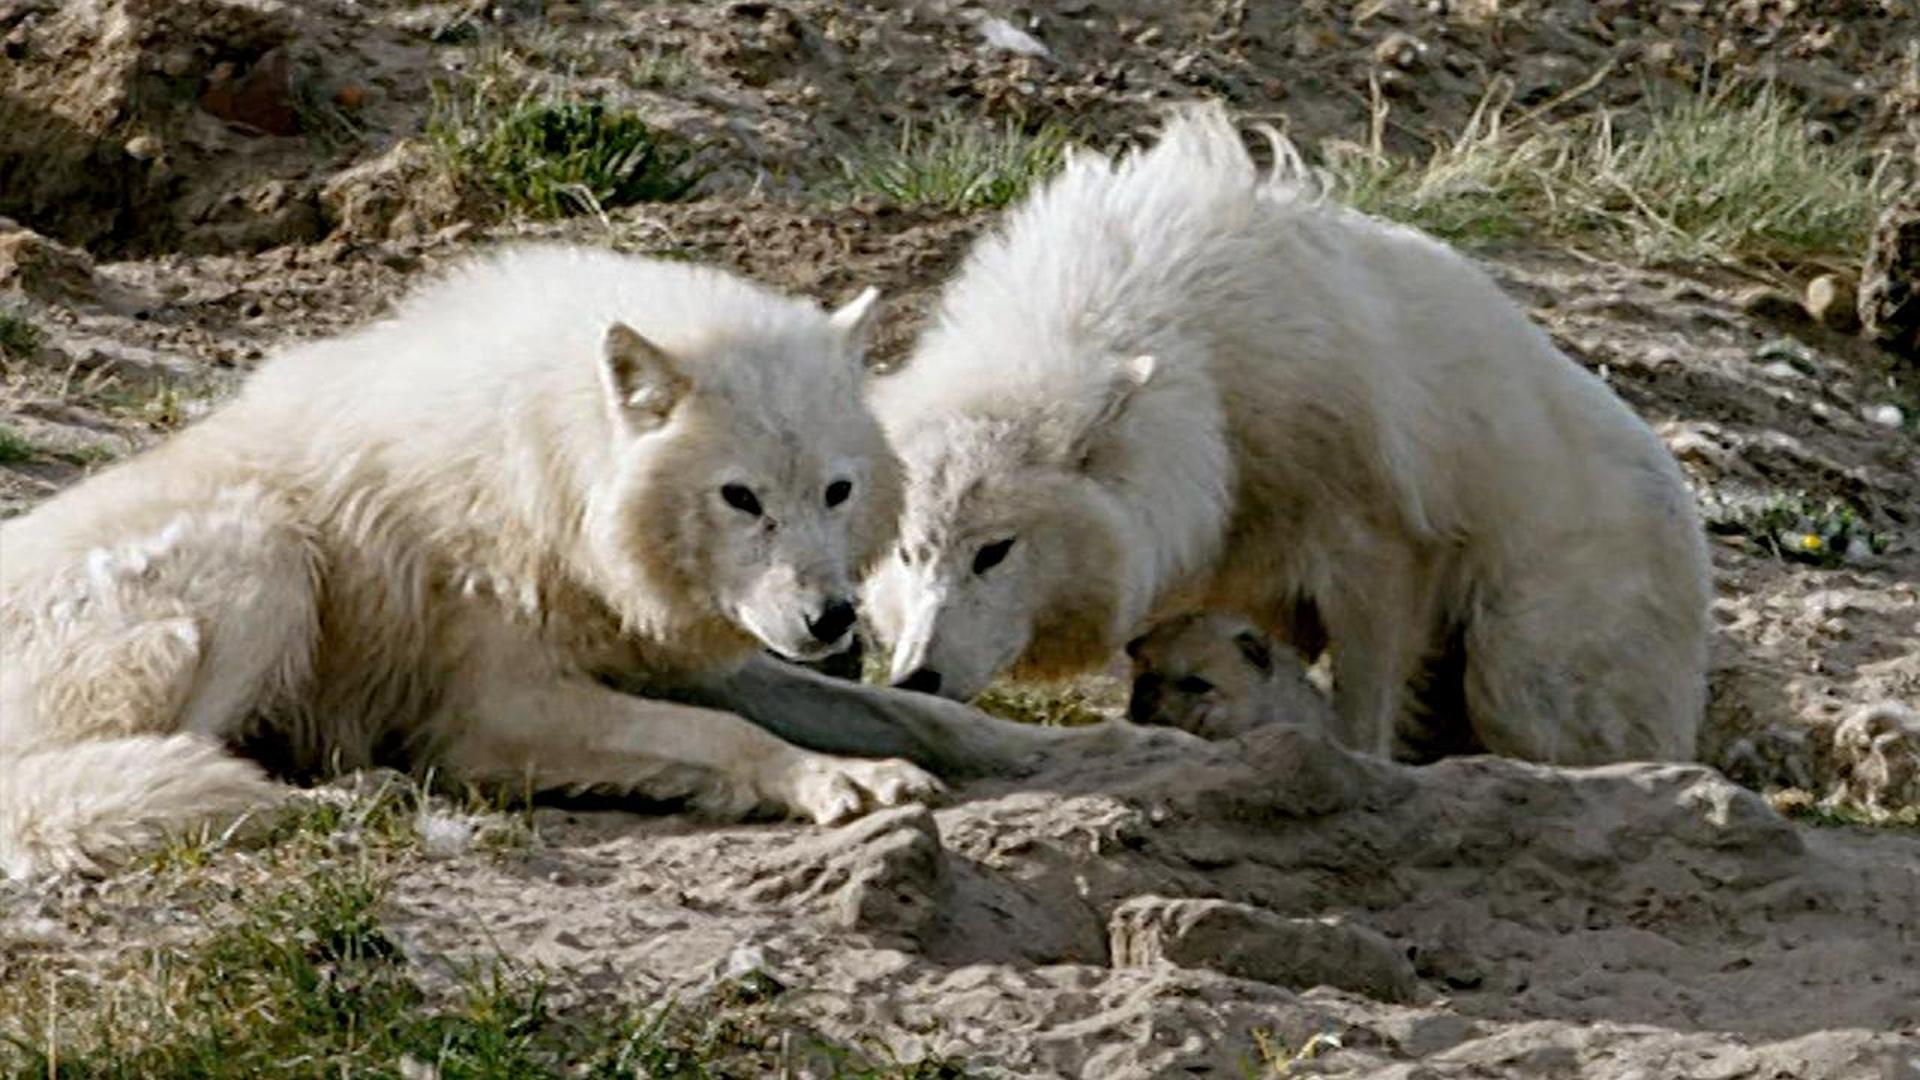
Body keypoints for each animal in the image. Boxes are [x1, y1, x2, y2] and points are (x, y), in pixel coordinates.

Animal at [0, 244, 959, 878]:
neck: (556, 471)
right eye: (740, 498)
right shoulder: (497, 710)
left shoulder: (684, 659)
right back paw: (336, 800)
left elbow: (909, 713)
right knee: (130, 774)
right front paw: (838, 779)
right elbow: (725, 735)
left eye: (837, 491)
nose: (833, 619)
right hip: (266, 554)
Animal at [862, 103, 1711, 766]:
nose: (913, 679)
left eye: (995, 552)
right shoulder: (1262, 589)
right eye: (909, 553)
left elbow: (1363, 717)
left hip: (1518, 675)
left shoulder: (1377, 558)